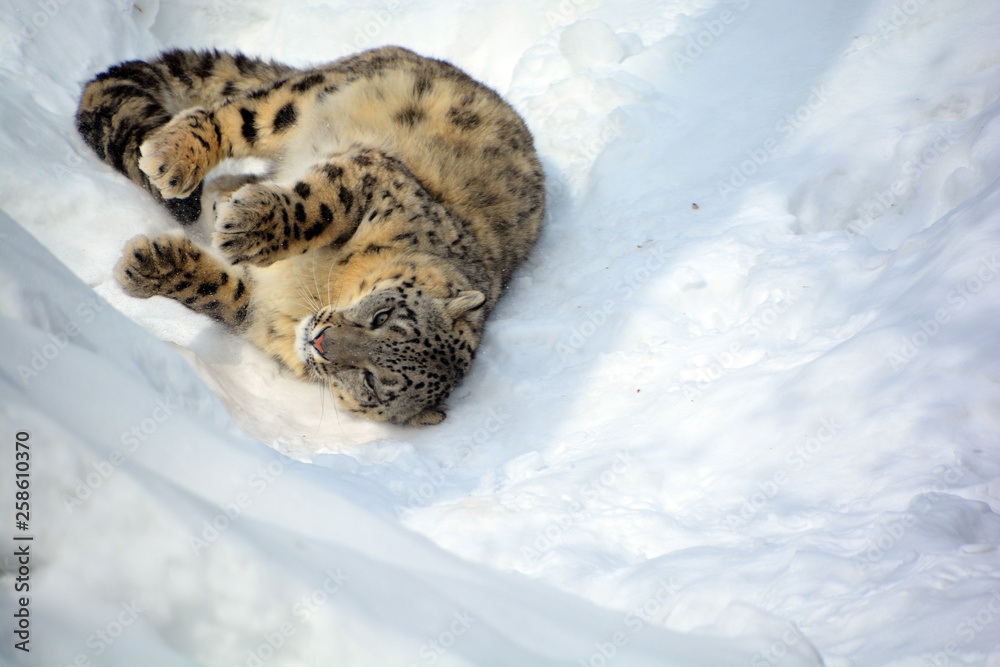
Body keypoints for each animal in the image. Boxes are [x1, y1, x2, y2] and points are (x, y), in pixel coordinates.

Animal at [76, 46, 544, 426]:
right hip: (308, 97)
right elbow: (320, 207)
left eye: (369, 380)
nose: (320, 341)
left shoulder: (262, 315)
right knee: (238, 115)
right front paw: (245, 227)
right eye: (382, 317)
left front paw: (150, 266)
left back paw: (218, 198)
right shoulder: (377, 178)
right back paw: (174, 160)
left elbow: (216, 290)